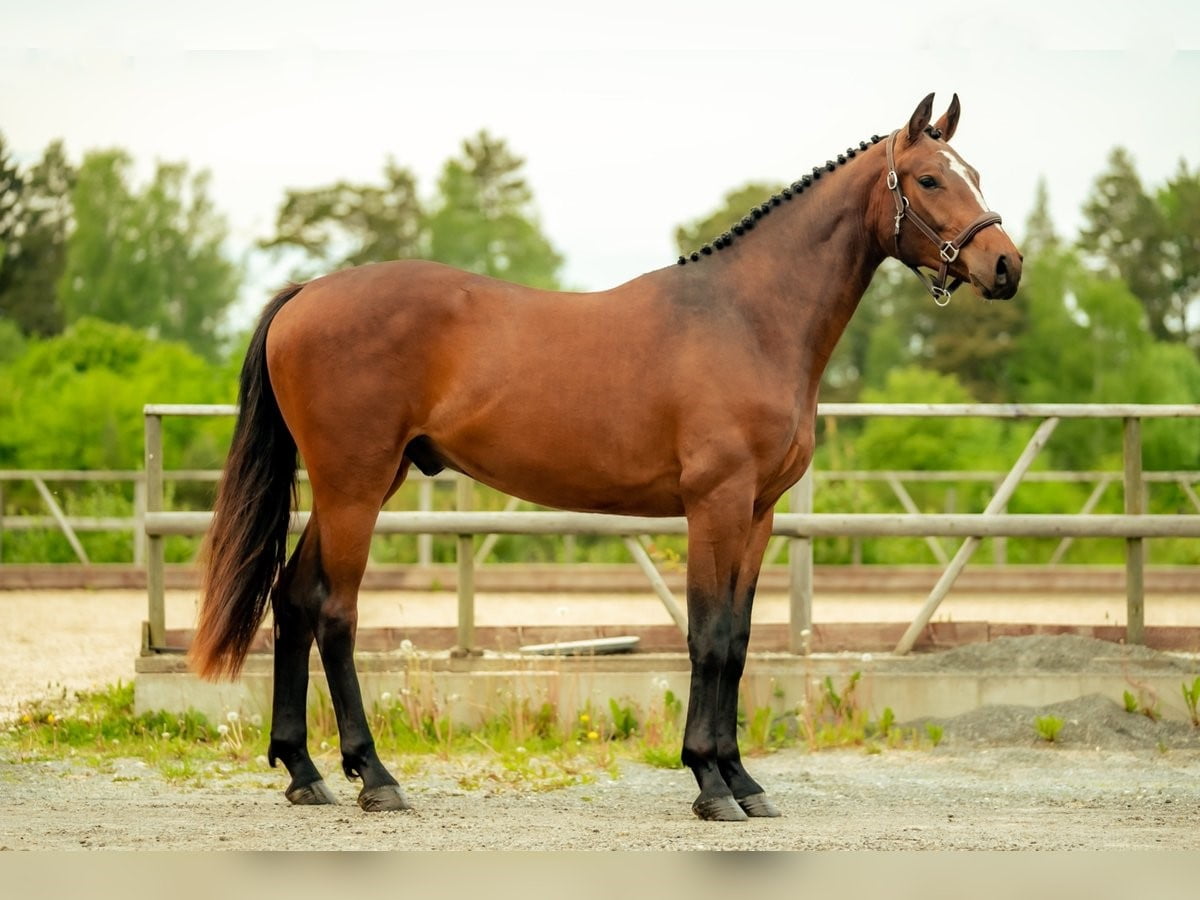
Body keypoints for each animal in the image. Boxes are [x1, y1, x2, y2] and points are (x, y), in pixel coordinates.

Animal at [190, 93, 1021, 821]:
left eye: (976, 170)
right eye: (930, 178)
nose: (1007, 266)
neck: (747, 319)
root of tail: (306, 294)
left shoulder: (757, 512)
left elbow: (738, 641)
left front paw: (744, 781)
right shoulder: (716, 504)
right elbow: (707, 636)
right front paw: (710, 783)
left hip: (359, 485)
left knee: (292, 598)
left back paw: (304, 772)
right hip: (353, 487)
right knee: (334, 611)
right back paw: (375, 777)